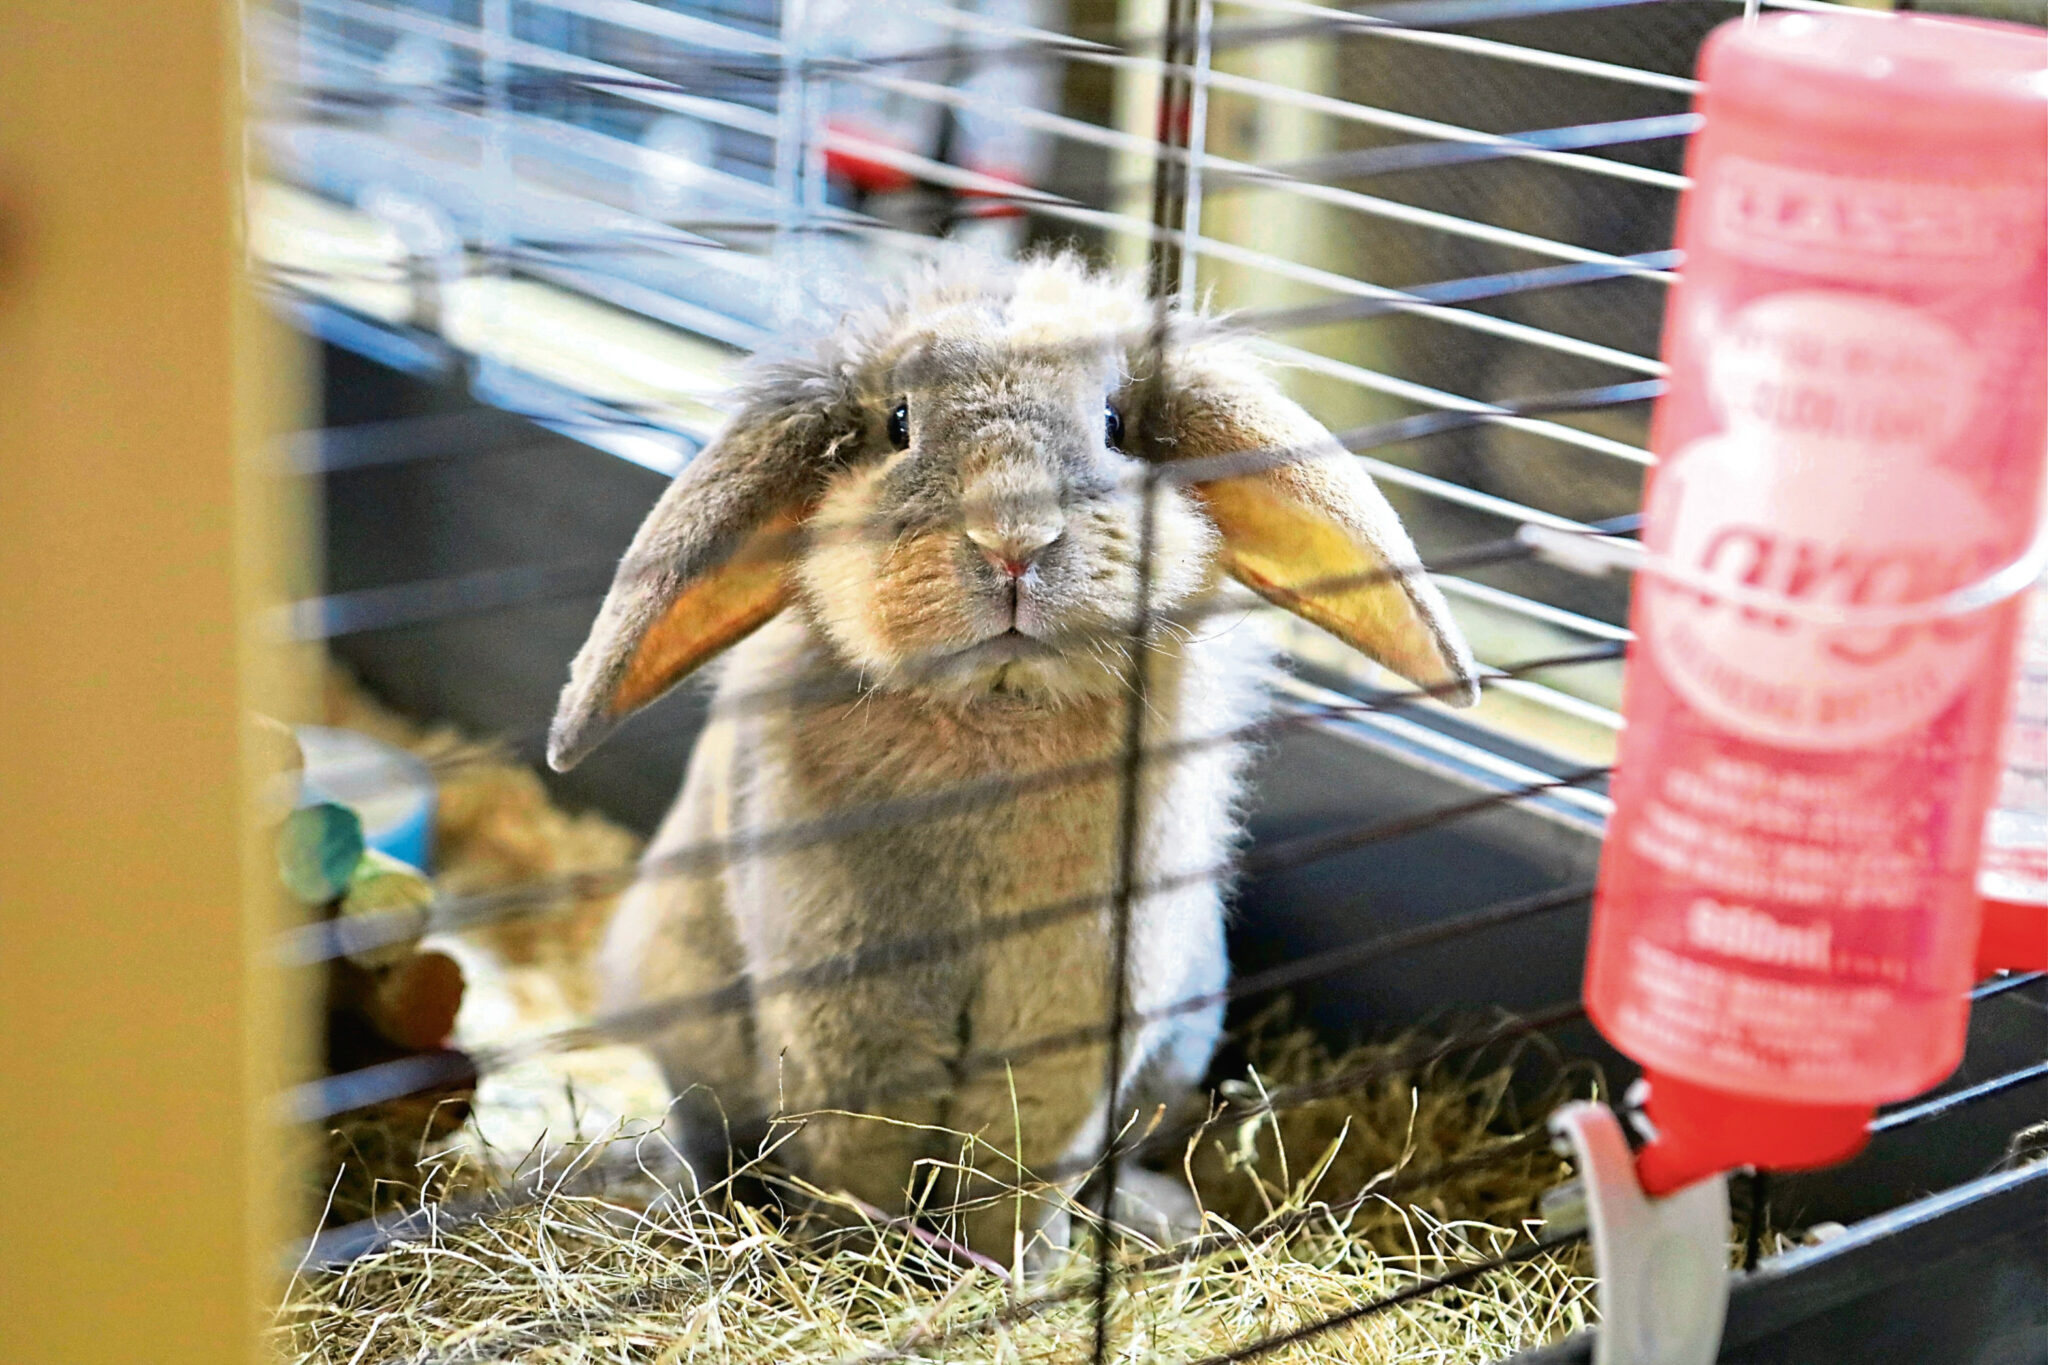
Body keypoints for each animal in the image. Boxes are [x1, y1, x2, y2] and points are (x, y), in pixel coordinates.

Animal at [546, 251, 1477, 1264]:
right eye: (898, 423)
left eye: (1114, 424)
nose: (1014, 540)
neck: (996, 715)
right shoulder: (846, 999)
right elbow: (862, 1148)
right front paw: (864, 1260)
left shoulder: (1080, 1006)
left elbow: (1019, 1158)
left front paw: (1009, 1268)